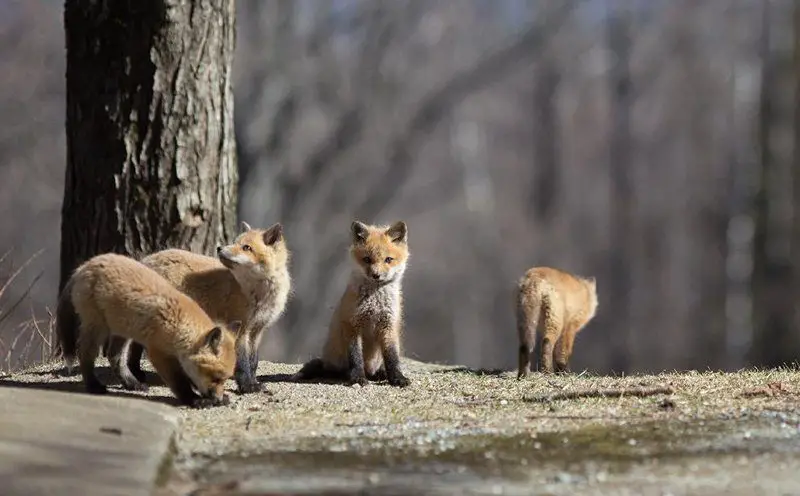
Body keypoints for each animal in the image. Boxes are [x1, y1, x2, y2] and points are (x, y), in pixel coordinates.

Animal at [56, 253, 242, 408]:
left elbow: (191, 377)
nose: (217, 399)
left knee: (114, 356)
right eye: (216, 378)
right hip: (97, 326)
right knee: (85, 354)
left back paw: (132, 383)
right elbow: (179, 382)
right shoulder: (159, 353)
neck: (178, 324)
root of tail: (85, 265)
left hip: (123, 330)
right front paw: (194, 399)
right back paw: (93, 385)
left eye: (225, 379)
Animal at [106, 222, 291, 395]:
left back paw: (136, 373)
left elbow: (253, 362)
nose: (219, 248)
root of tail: (146, 260)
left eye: (247, 247)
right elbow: (243, 364)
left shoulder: (257, 330)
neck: (259, 296)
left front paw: (254, 382)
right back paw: (132, 379)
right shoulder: (241, 329)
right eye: (234, 242)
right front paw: (247, 386)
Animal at [293, 220, 411, 388]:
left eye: (388, 259)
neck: (374, 303)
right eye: (367, 259)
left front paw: (397, 377)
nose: (376, 275)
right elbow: (356, 357)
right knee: (335, 370)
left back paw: (379, 374)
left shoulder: (388, 325)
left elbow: (392, 357)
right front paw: (357, 378)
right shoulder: (352, 324)